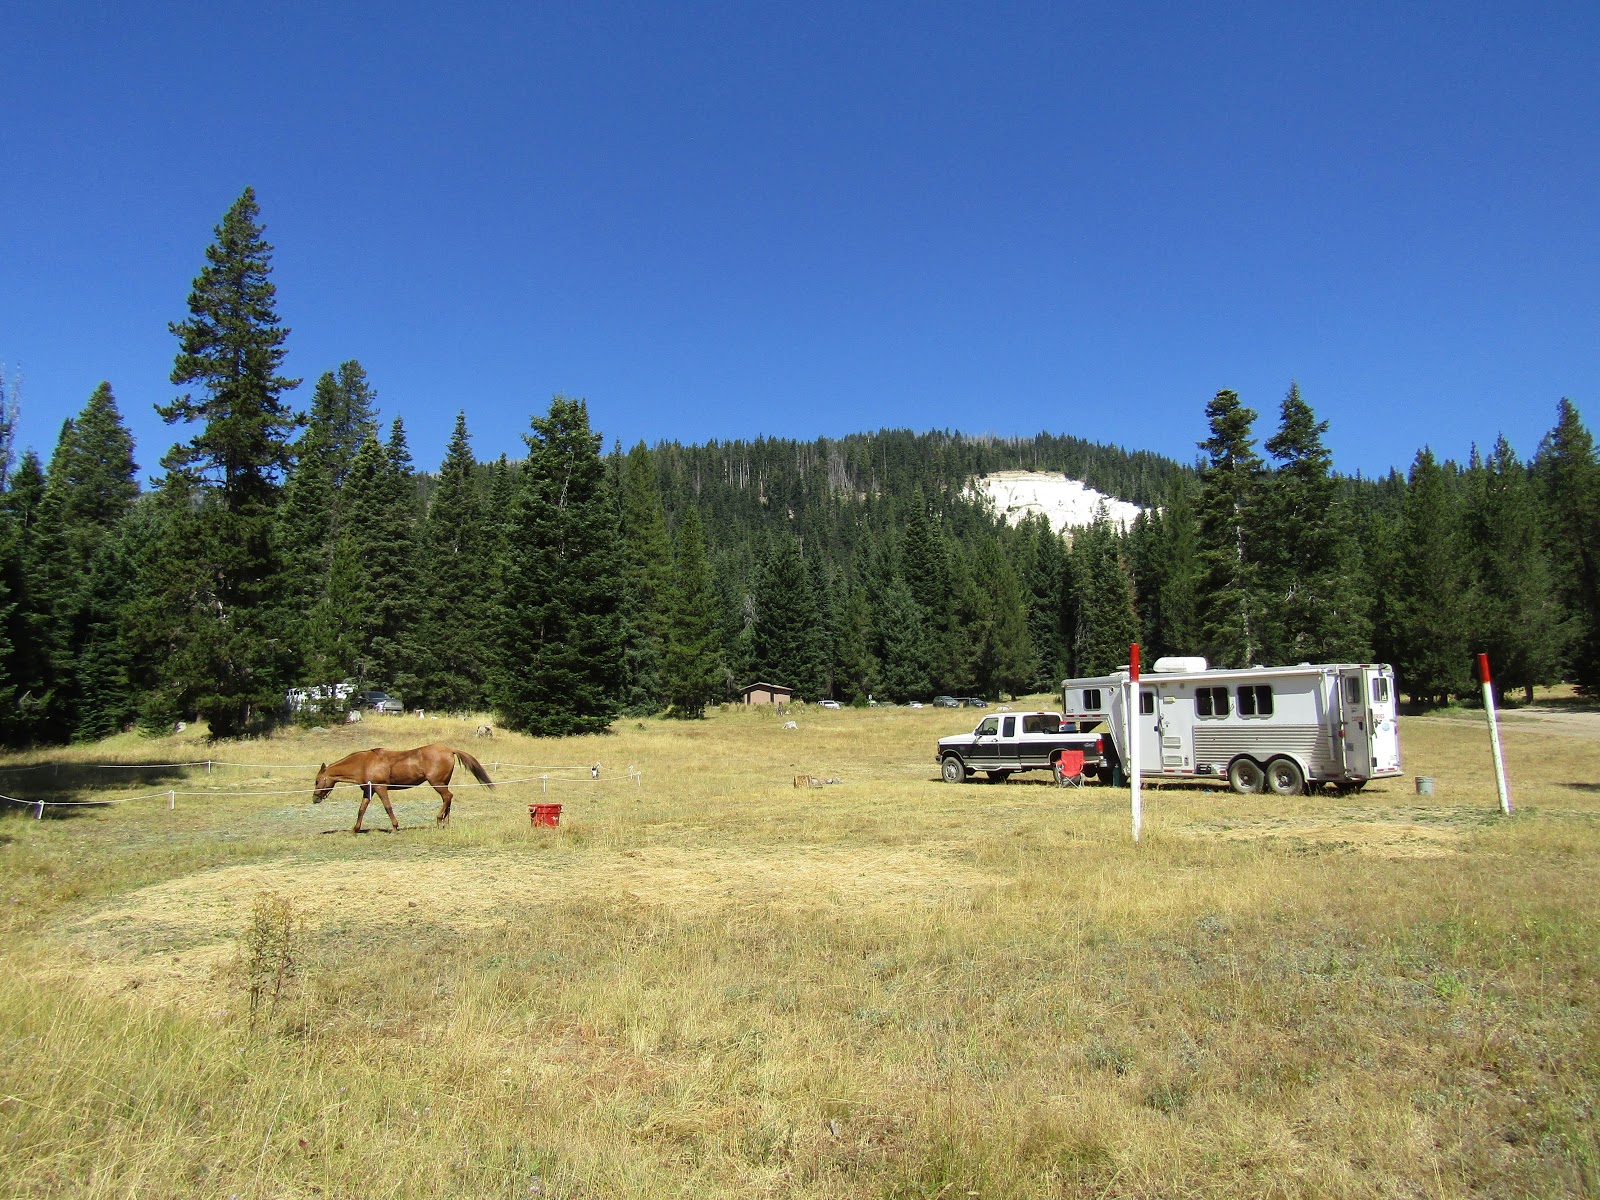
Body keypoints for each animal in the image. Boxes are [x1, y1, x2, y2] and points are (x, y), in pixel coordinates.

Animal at [312, 744, 495, 833]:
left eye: (317, 781)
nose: (315, 798)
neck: (364, 763)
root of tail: (450, 749)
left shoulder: (380, 788)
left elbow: (388, 807)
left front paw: (395, 827)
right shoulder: (368, 791)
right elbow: (361, 810)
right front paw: (355, 829)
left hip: (436, 783)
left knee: (448, 797)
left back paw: (438, 820)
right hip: (443, 783)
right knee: (447, 798)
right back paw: (445, 822)